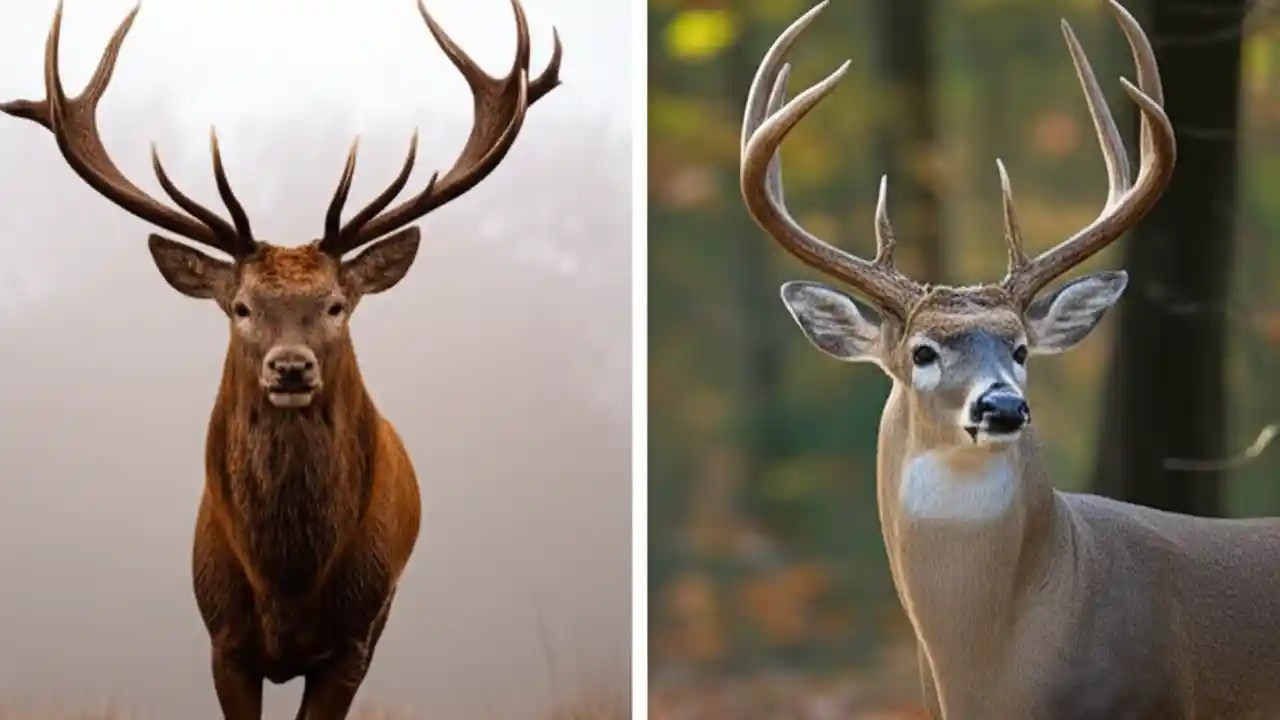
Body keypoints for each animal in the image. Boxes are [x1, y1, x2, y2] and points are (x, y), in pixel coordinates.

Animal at [1, 1, 560, 718]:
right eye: (240, 306)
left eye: (336, 305)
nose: (290, 368)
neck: (288, 583)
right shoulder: (223, 641)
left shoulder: (354, 644)